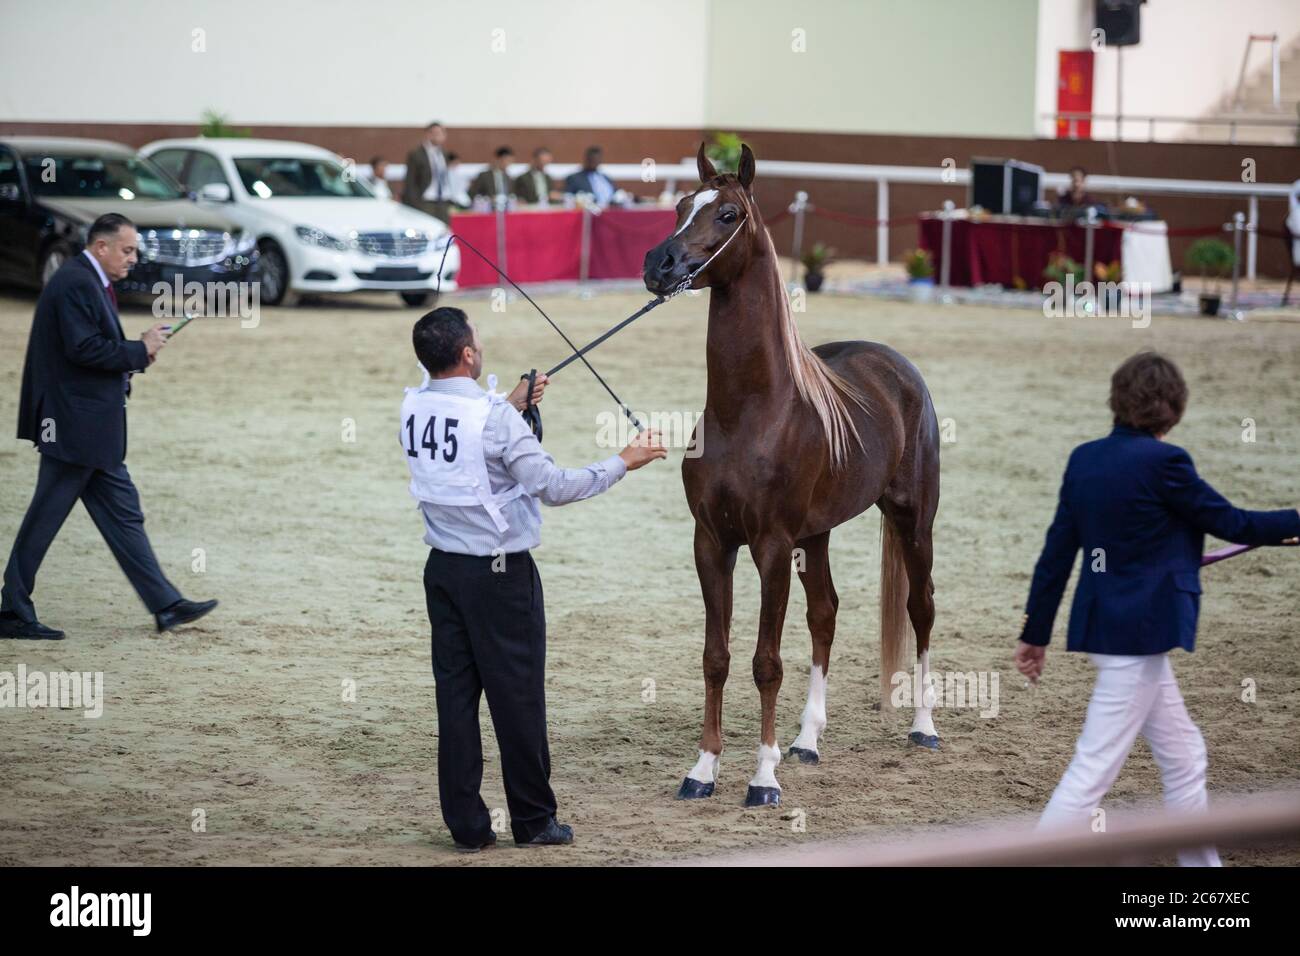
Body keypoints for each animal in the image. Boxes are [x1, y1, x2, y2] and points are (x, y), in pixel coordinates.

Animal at [642, 143, 942, 807]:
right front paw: (704, 769)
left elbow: (766, 661)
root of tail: (899, 368)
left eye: (728, 214)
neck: (751, 410)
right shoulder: (713, 543)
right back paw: (806, 740)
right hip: (818, 535)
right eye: (680, 206)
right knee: (825, 613)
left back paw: (924, 727)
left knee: (921, 608)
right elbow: (718, 656)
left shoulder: (772, 547)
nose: (658, 262)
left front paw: (762, 778)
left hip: (913, 521)